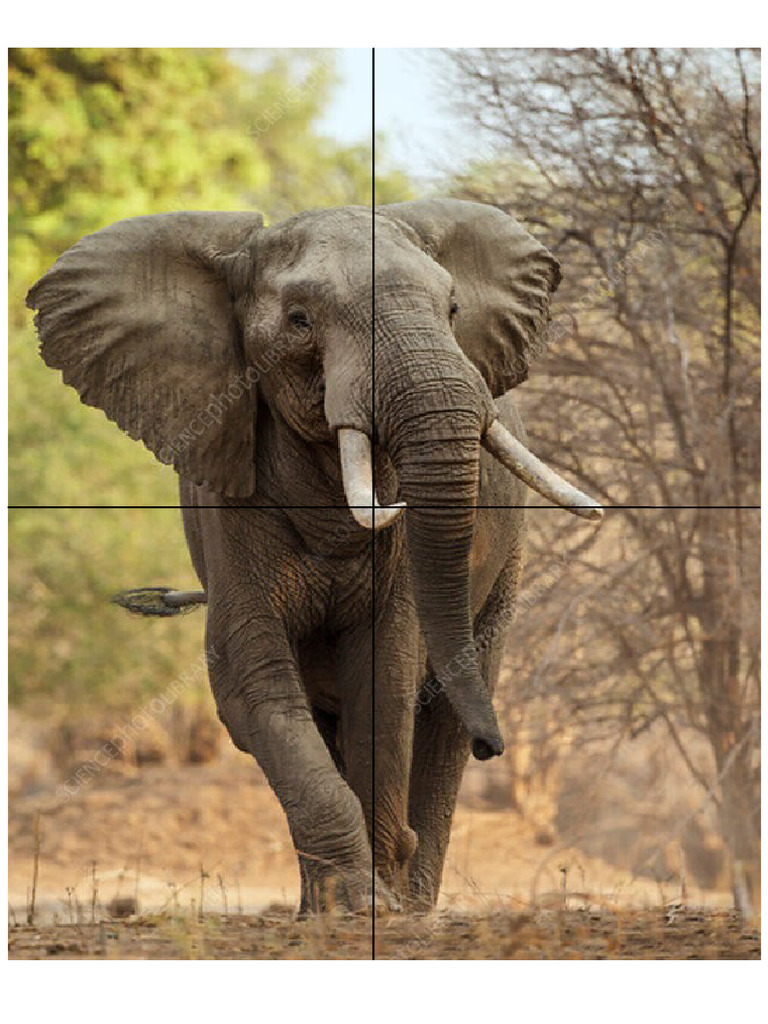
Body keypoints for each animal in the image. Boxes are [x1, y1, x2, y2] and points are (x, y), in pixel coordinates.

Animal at [27, 199, 602, 913]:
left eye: (452, 310)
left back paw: (415, 902)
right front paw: (348, 906)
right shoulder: (228, 498)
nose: (495, 746)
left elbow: (383, 679)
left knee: (443, 722)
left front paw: (378, 904)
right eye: (300, 321)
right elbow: (253, 683)